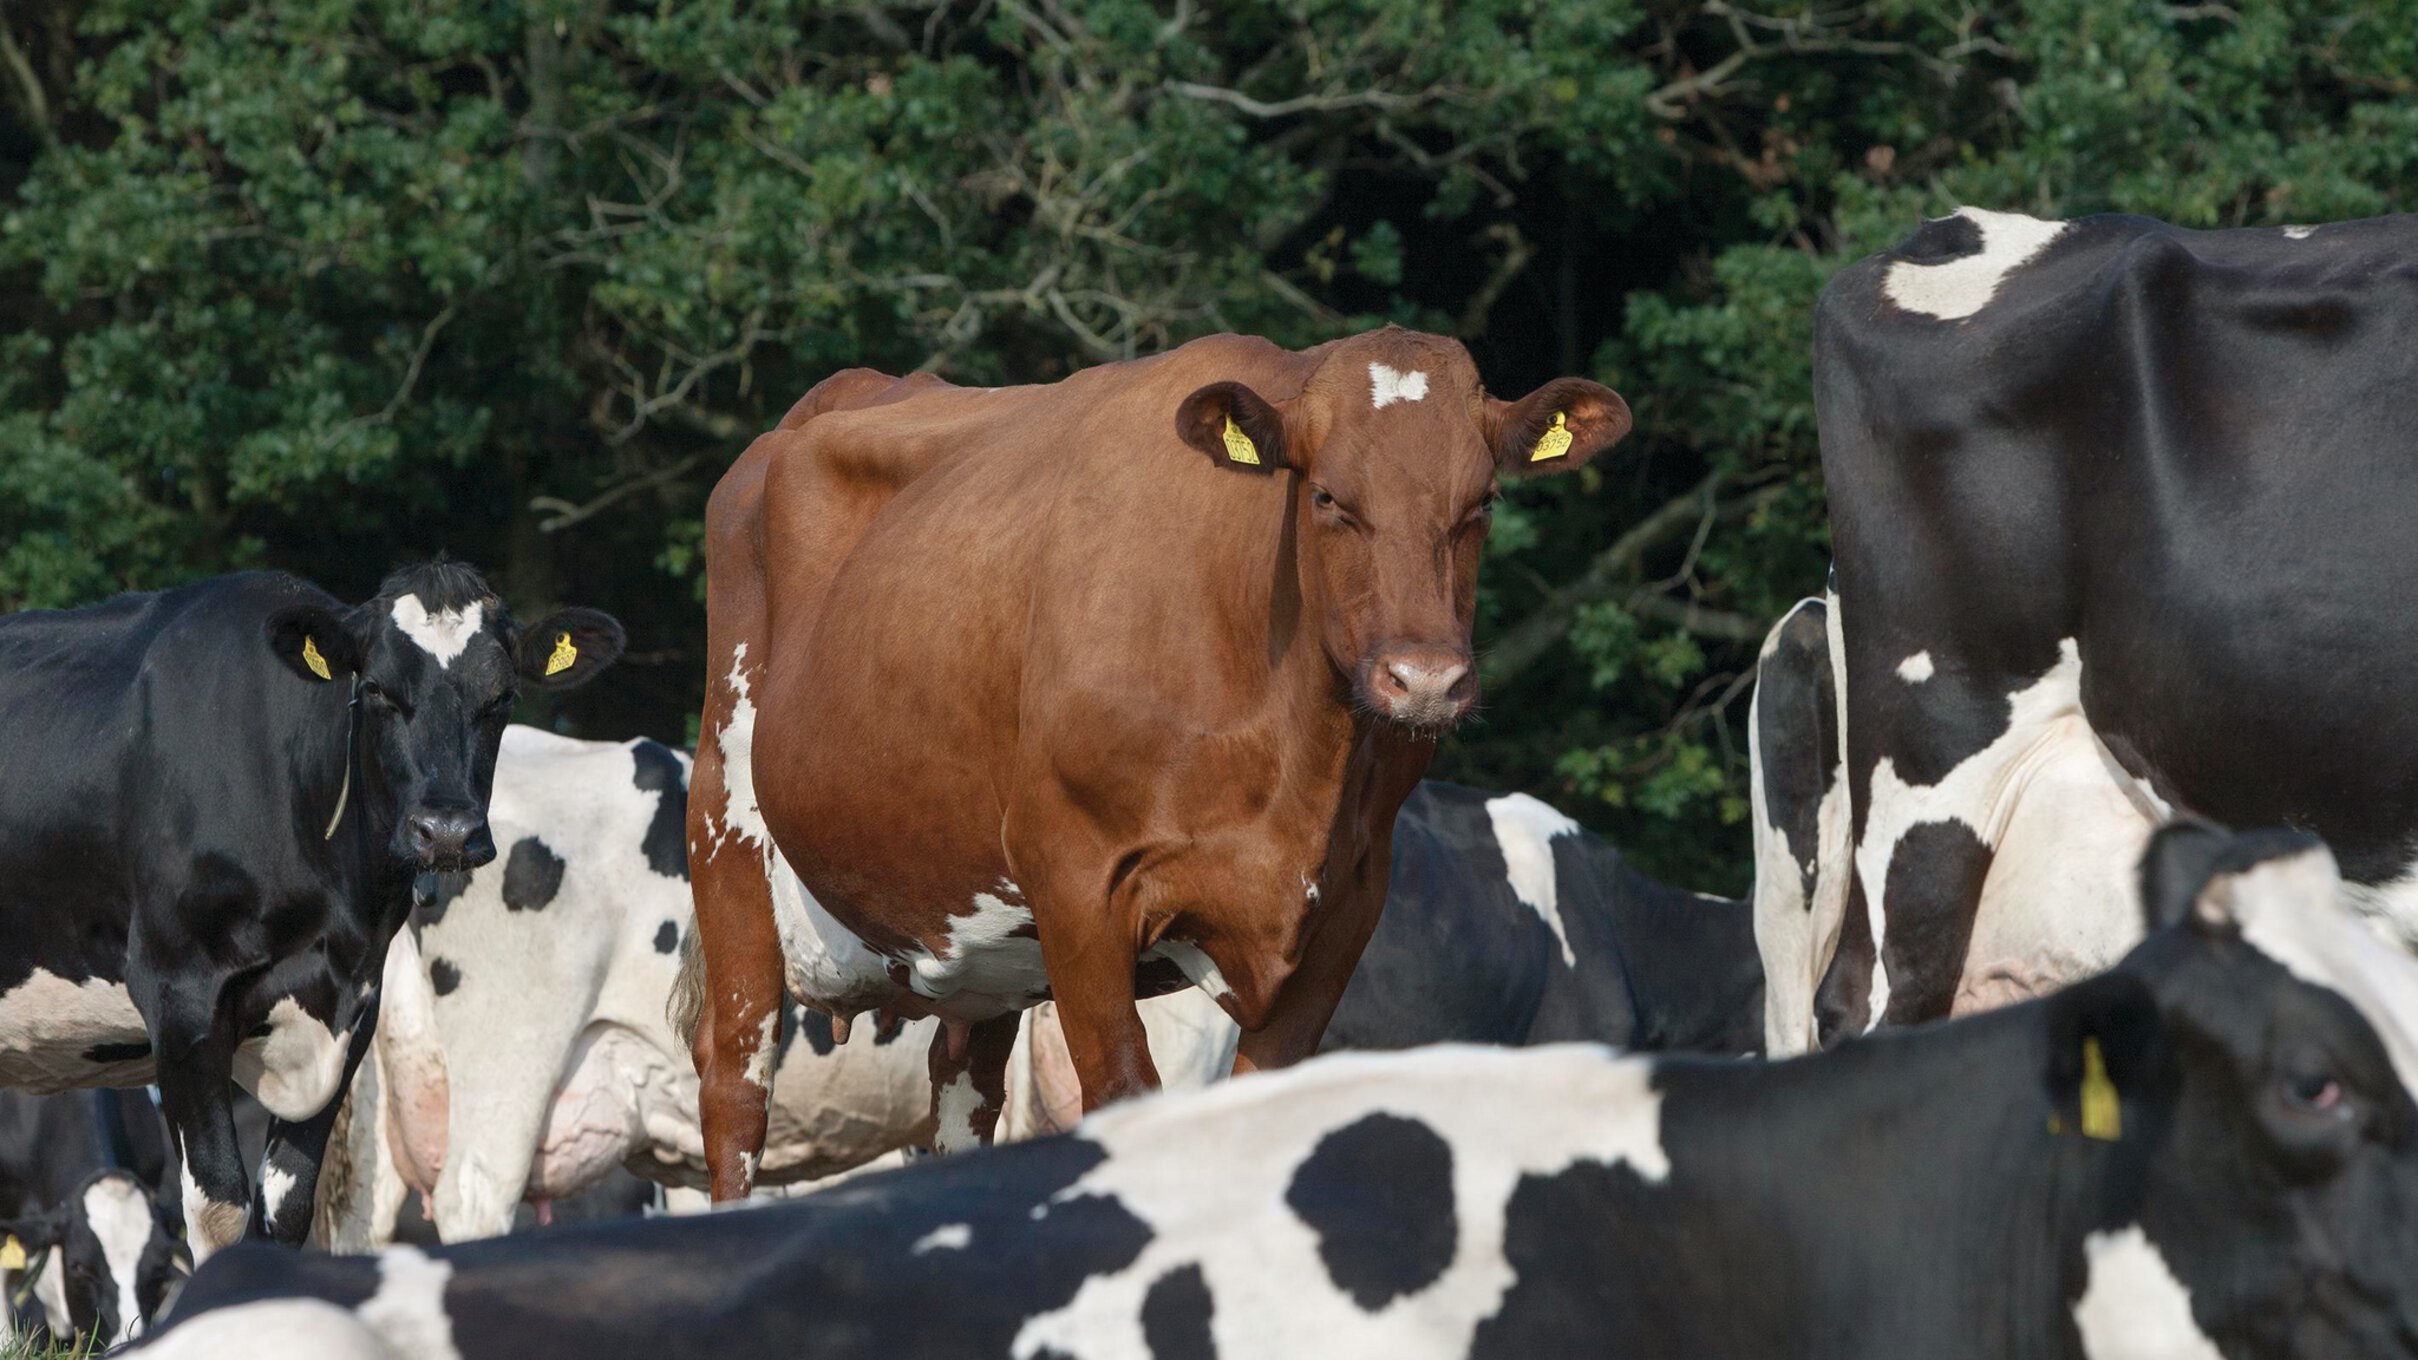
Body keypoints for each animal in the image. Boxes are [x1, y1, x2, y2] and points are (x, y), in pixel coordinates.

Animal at [0, 563, 623, 1258]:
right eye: (376, 689)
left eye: (503, 698)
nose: (446, 832)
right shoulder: (177, 989)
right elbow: (219, 1207)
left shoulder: (356, 1005)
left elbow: (287, 1205)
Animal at [684, 326, 1632, 1197]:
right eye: (1329, 497)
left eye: (1482, 502)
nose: (1425, 680)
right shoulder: (1076, 880)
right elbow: (1121, 1098)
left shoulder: (1348, 907)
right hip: (725, 828)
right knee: (734, 1085)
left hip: (973, 941)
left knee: (960, 1087)